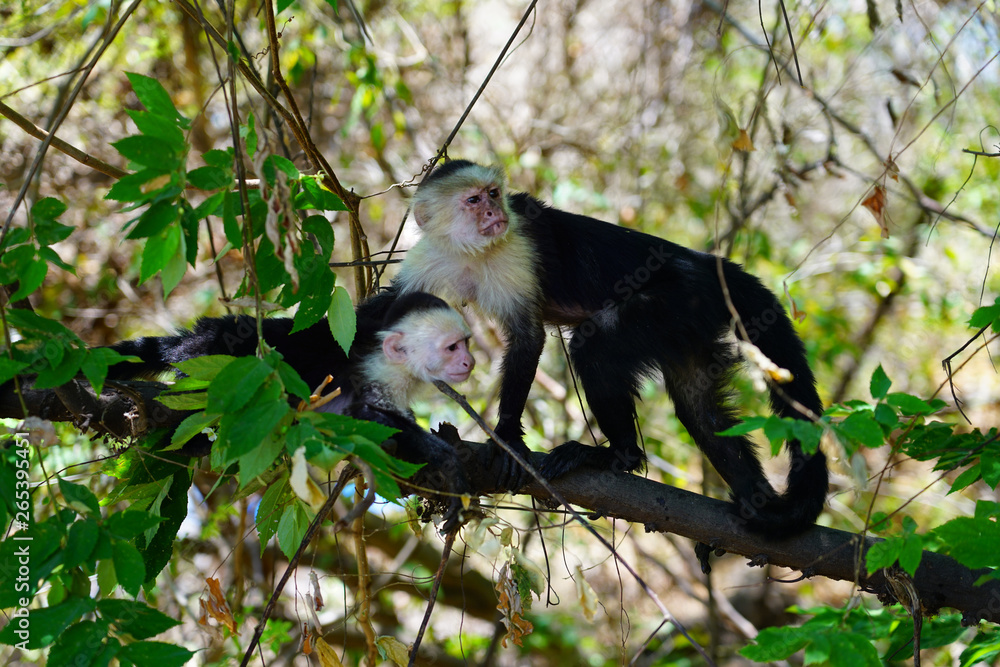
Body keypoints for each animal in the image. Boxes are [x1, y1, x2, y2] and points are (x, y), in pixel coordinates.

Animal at [392, 159, 827, 536]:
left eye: (495, 194)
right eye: (473, 200)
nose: (492, 212)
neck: (471, 252)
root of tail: (706, 263)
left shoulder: (516, 249)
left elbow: (529, 338)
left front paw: (507, 438)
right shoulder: (429, 256)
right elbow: (390, 312)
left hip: (680, 297)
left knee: (595, 346)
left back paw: (620, 454)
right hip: (691, 325)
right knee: (698, 408)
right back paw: (757, 502)